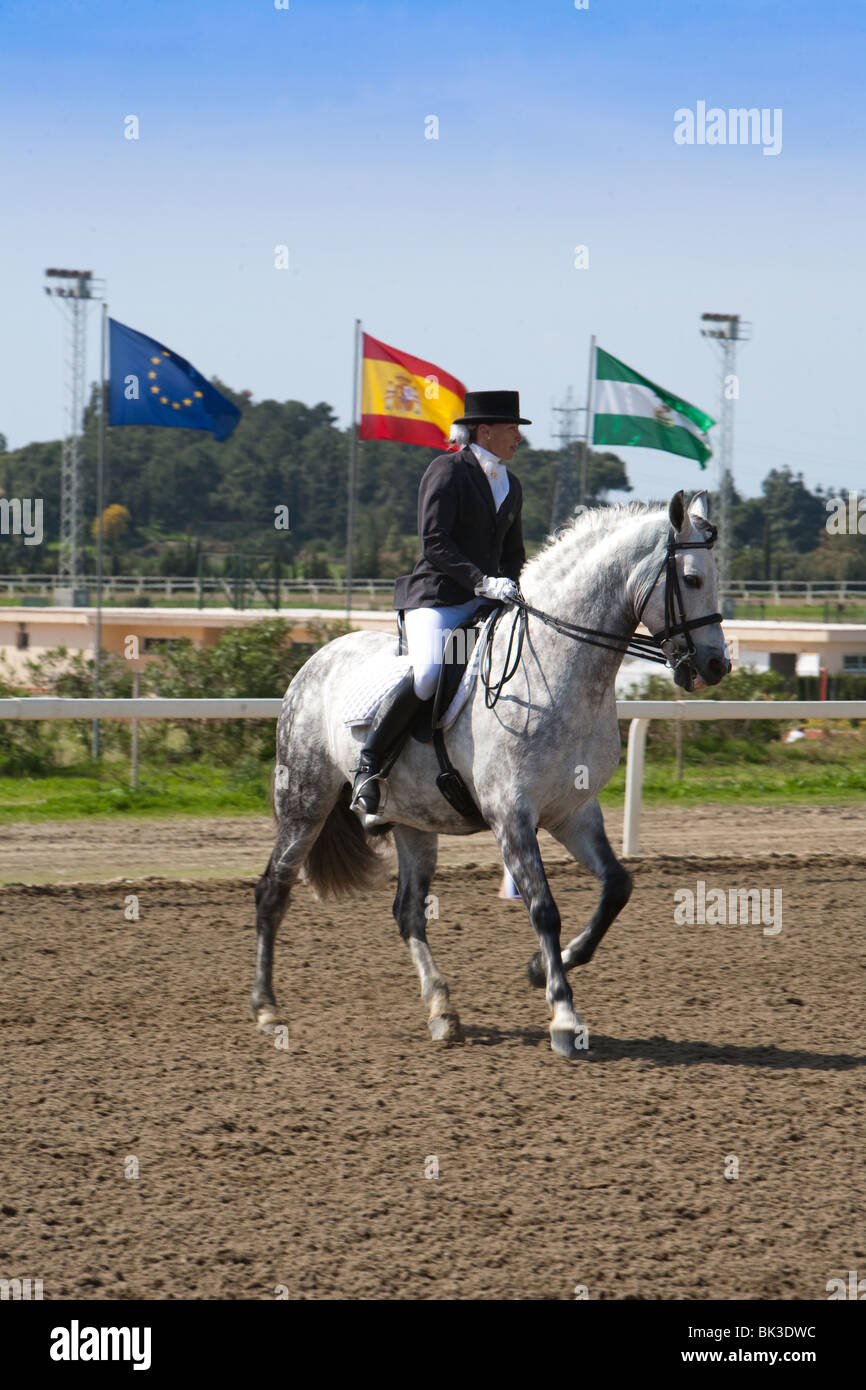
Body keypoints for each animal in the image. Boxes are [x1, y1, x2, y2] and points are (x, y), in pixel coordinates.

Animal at [251, 489, 730, 1059]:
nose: (717, 665)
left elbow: (617, 886)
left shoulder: (573, 811)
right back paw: (267, 1009)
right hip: (304, 801)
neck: (556, 672)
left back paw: (442, 1011)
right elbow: (543, 909)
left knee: (408, 912)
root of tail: (315, 660)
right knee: (273, 889)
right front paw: (564, 1017)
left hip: (413, 821)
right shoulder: (511, 815)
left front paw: (543, 968)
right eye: (693, 579)